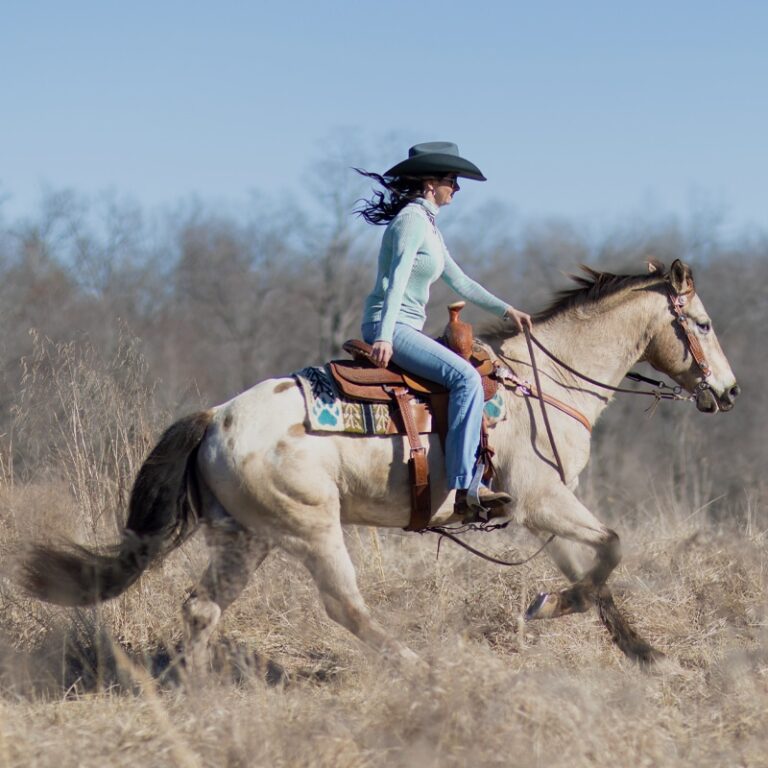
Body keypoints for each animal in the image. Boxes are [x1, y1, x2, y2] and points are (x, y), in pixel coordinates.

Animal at [20, 259, 739, 670]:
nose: (728, 392)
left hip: (245, 537)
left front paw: (647, 655)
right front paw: (544, 609)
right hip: (312, 530)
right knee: (345, 605)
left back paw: (195, 689)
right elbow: (611, 550)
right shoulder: (545, 501)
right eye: (702, 323)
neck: (543, 388)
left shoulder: (543, 512)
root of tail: (216, 418)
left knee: (201, 608)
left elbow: (597, 580)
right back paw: (414, 662)